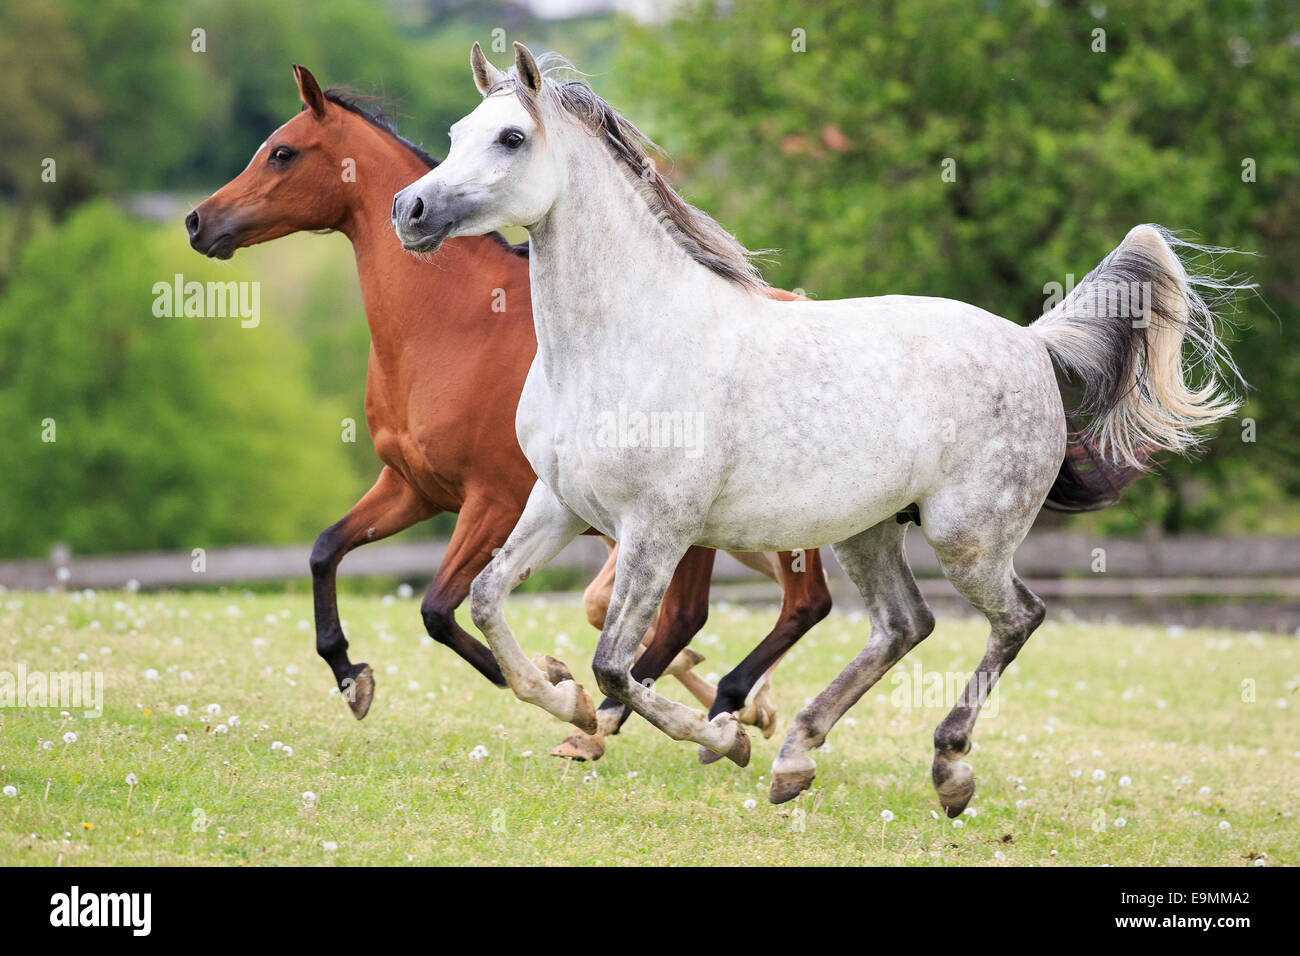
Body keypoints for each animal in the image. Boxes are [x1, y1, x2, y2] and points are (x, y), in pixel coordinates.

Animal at [185, 64, 834, 761]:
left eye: (282, 152)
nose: (198, 221)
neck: (454, 326)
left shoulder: (491, 502)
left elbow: (439, 608)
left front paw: (555, 681)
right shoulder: (412, 488)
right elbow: (325, 550)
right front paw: (351, 674)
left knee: (798, 604)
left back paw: (692, 714)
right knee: (704, 614)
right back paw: (726, 710)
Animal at [390, 43, 1248, 814]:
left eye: (512, 137)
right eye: (460, 130)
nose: (410, 210)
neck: (619, 344)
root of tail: (1032, 342)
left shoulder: (657, 529)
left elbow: (614, 664)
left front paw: (719, 736)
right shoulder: (560, 504)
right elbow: (489, 602)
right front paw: (565, 702)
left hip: (967, 536)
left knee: (1016, 618)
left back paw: (947, 768)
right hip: (865, 530)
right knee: (905, 625)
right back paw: (796, 757)